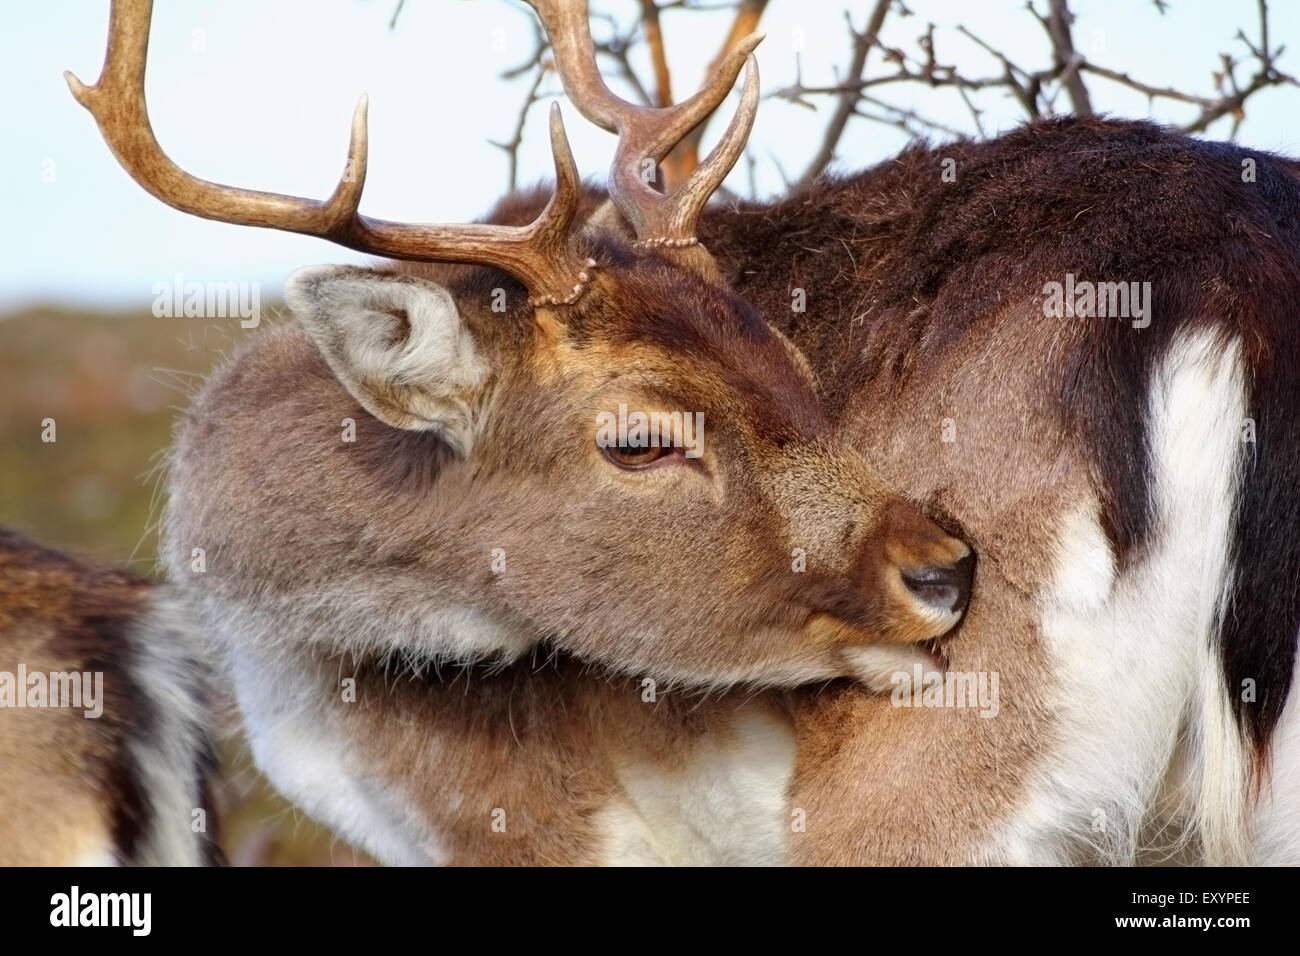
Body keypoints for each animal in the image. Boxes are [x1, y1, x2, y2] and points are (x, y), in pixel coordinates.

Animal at [61, 0, 1300, 867]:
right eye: (641, 440)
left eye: (792, 356)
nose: (945, 567)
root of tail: (1241, 290)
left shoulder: (523, 818)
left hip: (935, 782)